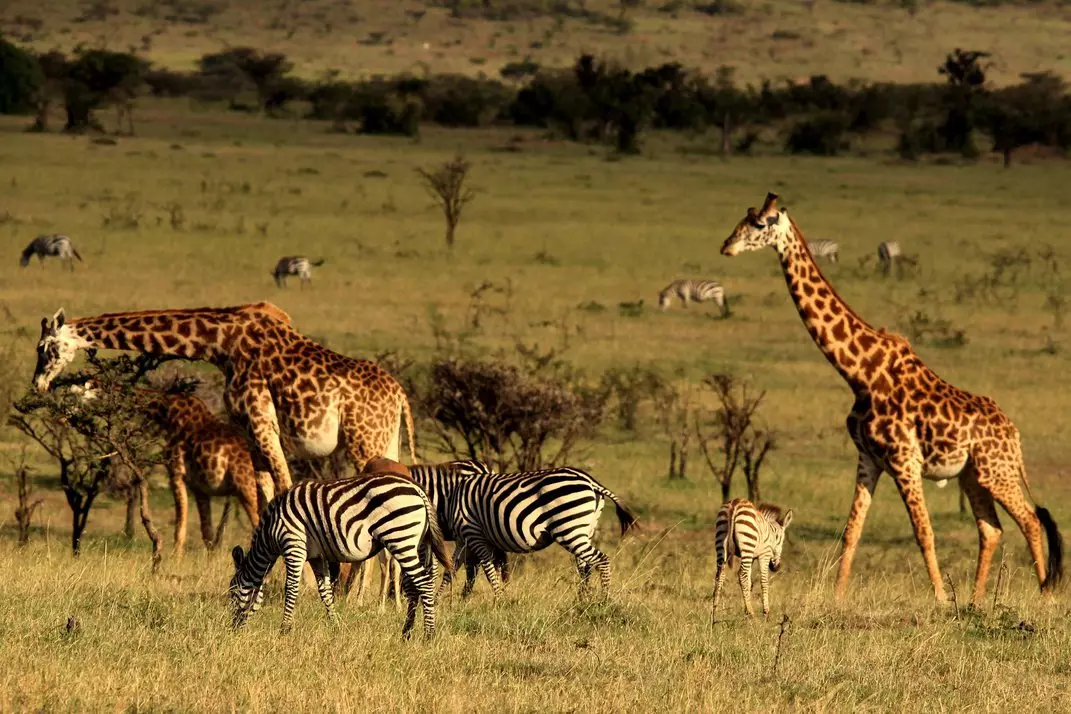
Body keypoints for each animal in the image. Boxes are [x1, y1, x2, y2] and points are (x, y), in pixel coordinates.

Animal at [31, 301, 415, 496]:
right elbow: (265, 493)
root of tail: (400, 396)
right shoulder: (248, 430)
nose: (38, 384)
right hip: (387, 440)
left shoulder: (262, 422)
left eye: (44, 347)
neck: (221, 343)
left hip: (364, 441)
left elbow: (285, 487)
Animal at [230, 475, 451, 637]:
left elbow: (291, 588)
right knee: (415, 587)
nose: (232, 629)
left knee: (424, 584)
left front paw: (284, 629)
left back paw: (428, 634)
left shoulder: (294, 546)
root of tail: (418, 490)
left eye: (232, 592)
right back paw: (406, 633)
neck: (271, 531)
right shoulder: (316, 556)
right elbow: (325, 592)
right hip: (417, 544)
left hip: (400, 538)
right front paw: (335, 626)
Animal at [406, 458, 634, 599]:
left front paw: (498, 600)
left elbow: (488, 569)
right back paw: (582, 601)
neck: (451, 495)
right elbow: (451, 569)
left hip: (569, 529)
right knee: (585, 567)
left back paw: (603, 600)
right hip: (584, 530)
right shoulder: (463, 539)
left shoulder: (474, 533)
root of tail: (592, 482)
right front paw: (438, 600)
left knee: (601, 560)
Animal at [719, 192, 1062, 608]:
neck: (860, 373)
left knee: (1028, 519)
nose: (726, 246)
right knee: (991, 528)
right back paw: (976, 599)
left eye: (759, 224)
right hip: (972, 476)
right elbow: (852, 530)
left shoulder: (904, 460)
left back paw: (1045, 593)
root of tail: (1014, 435)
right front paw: (837, 596)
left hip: (997, 472)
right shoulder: (869, 458)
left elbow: (923, 531)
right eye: (743, 219)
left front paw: (940, 598)